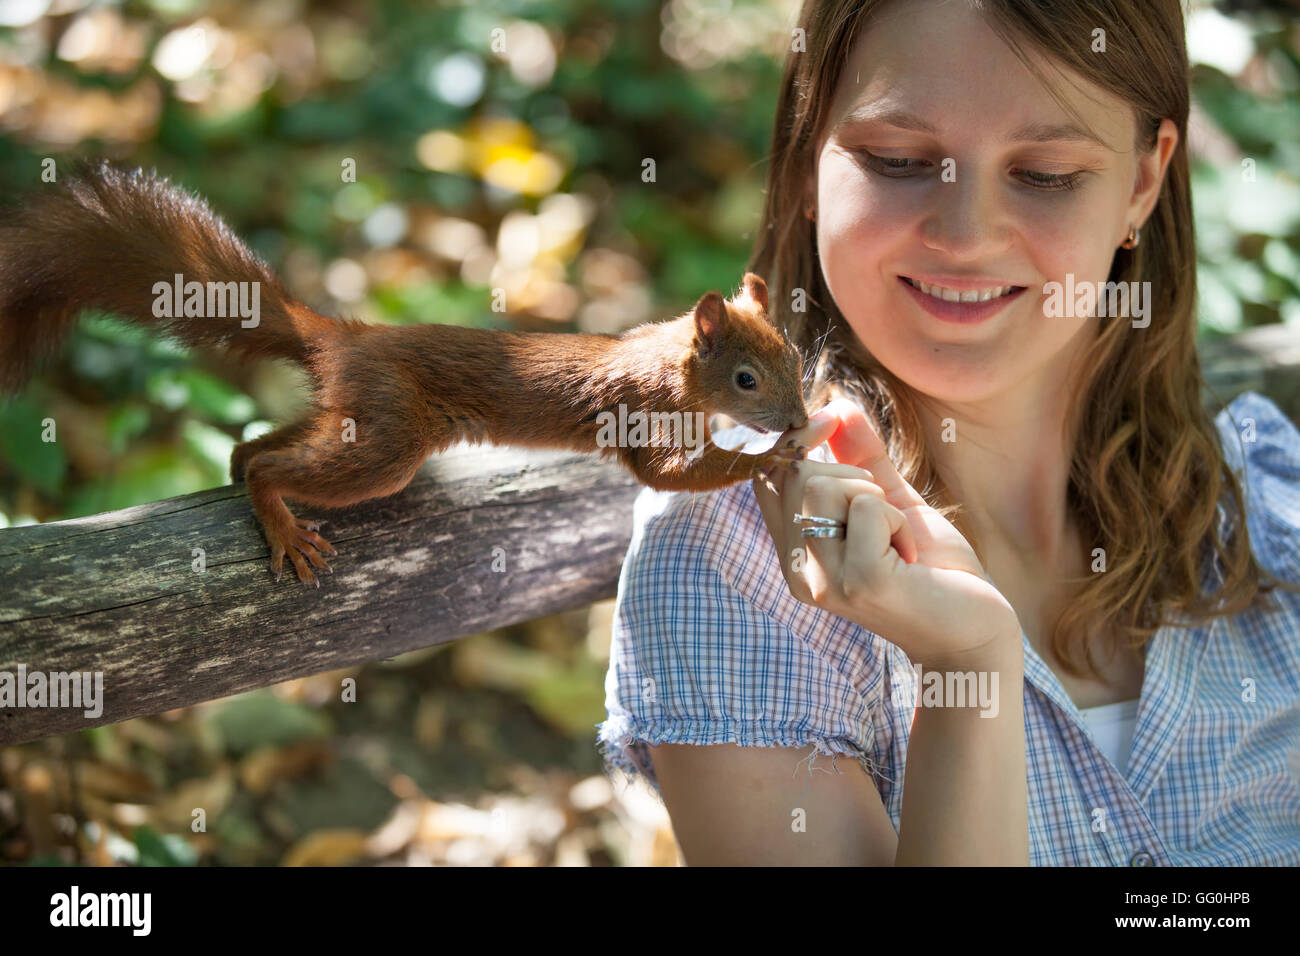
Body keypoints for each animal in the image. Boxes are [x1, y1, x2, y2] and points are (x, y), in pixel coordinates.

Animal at [0, 160, 810, 586]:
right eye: (747, 379)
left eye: (798, 357)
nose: (801, 418)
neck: (670, 367)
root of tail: (342, 339)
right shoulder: (639, 415)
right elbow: (670, 475)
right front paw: (774, 458)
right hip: (387, 440)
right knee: (277, 465)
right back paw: (281, 523)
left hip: (353, 415)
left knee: (260, 443)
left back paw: (240, 471)